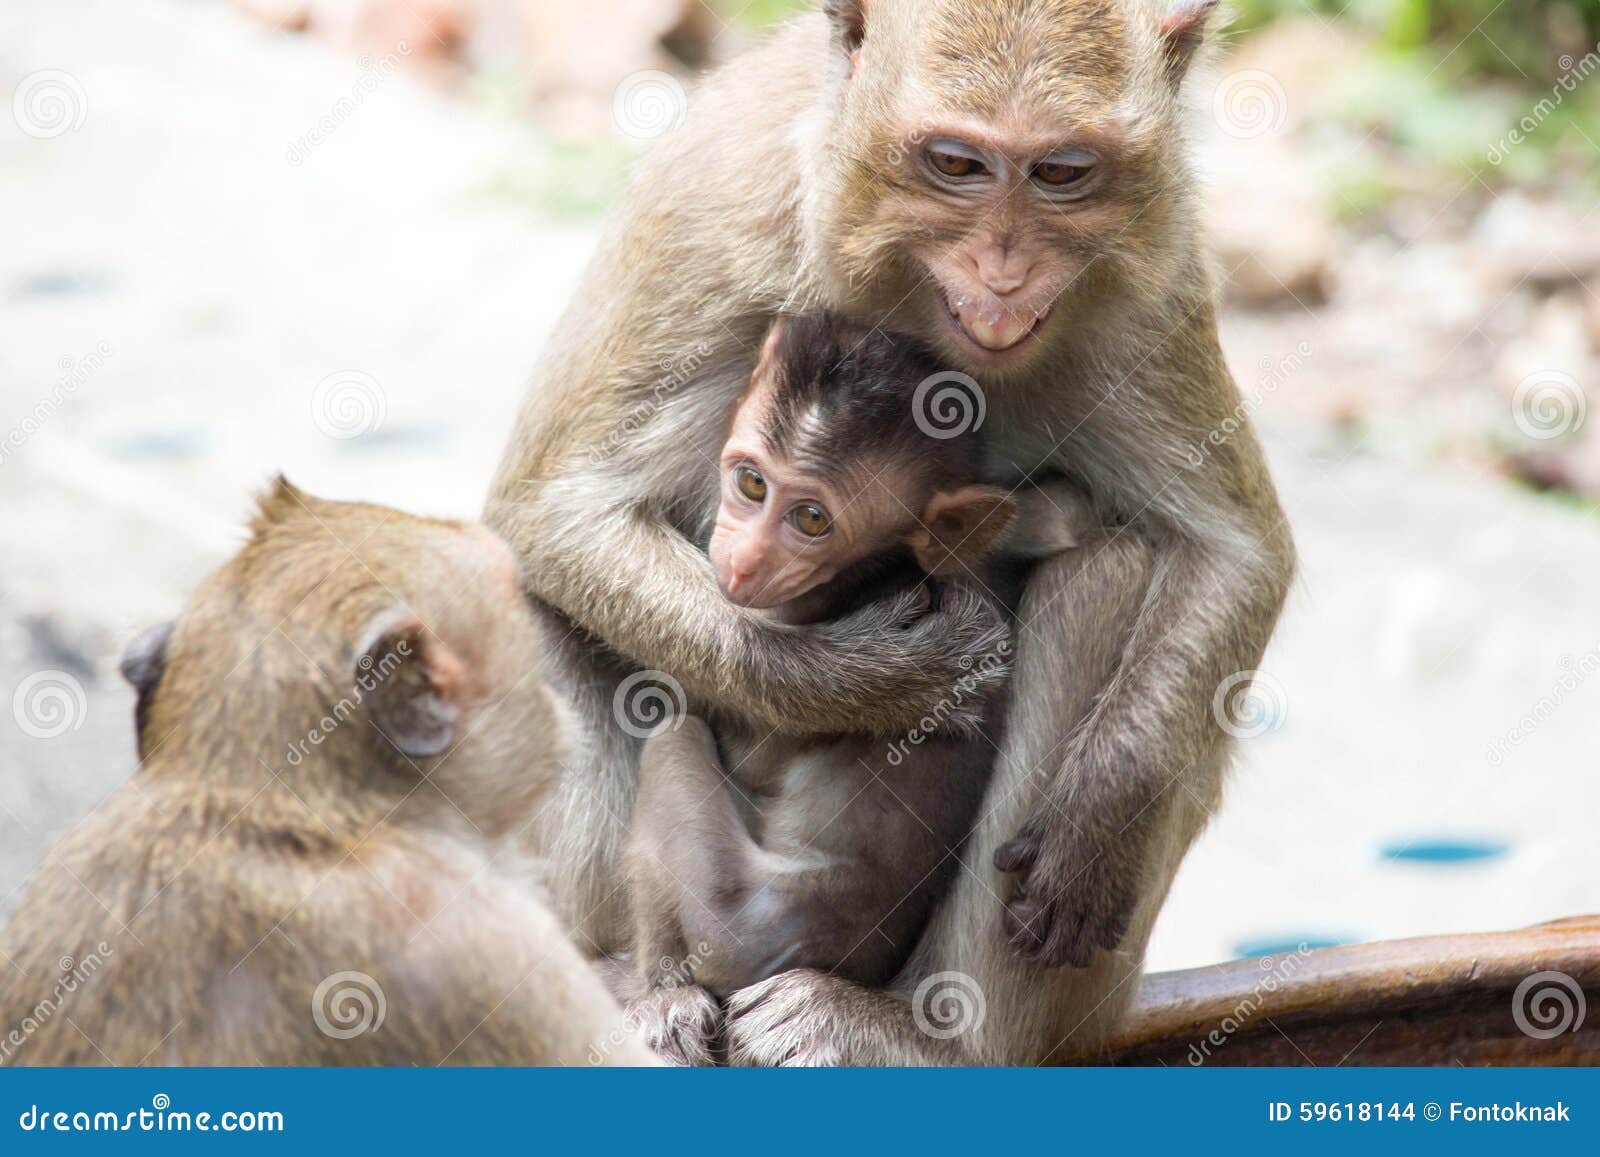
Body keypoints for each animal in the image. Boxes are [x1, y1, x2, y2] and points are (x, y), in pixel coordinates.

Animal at [622, 311, 1092, 1063]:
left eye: (812, 520)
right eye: (752, 484)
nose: (744, 560)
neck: (876, 568)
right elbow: (1062, 518)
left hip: (724, 922)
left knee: (676, 734)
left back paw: (660, 992)